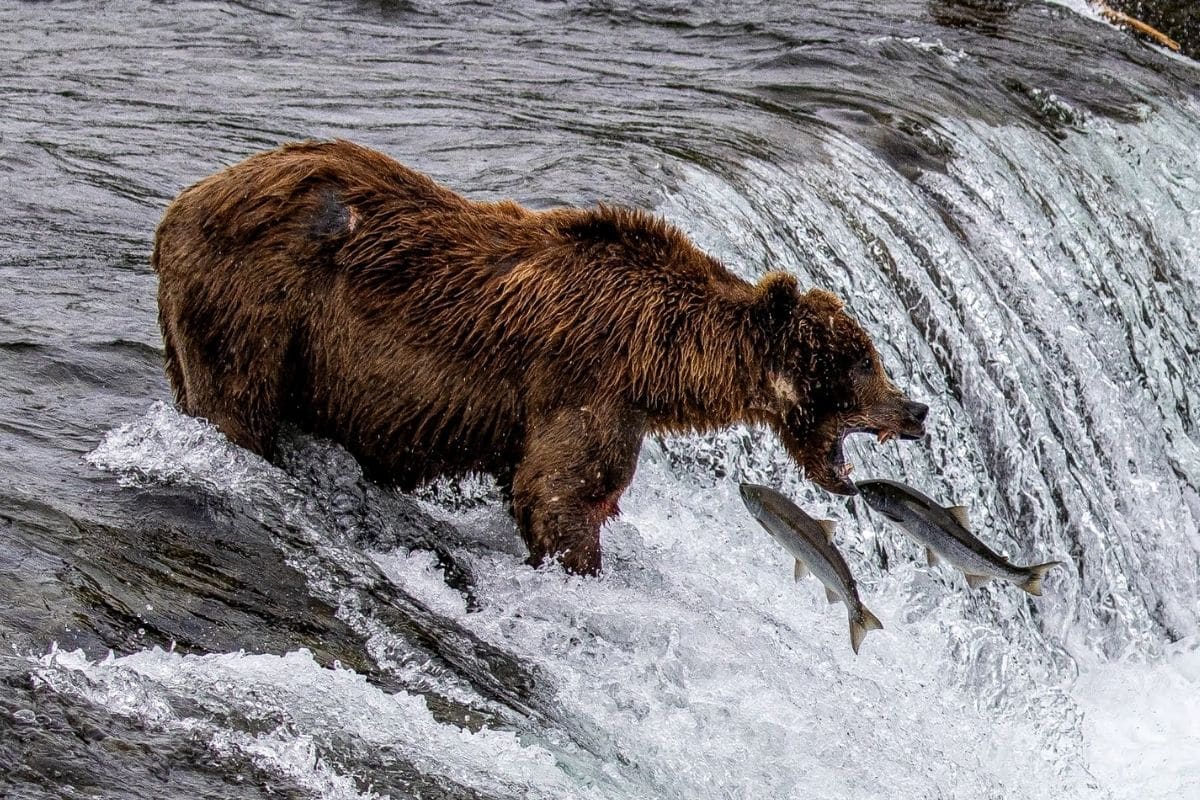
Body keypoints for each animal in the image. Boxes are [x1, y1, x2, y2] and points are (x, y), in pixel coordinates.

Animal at [153, 139, 928, 575]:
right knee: (237, 403)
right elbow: (563, 491)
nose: (917, 408)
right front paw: (578, 565)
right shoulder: (586, 381)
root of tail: (181, 205)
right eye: (862, 361)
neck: (665, 357)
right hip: (257, 301)